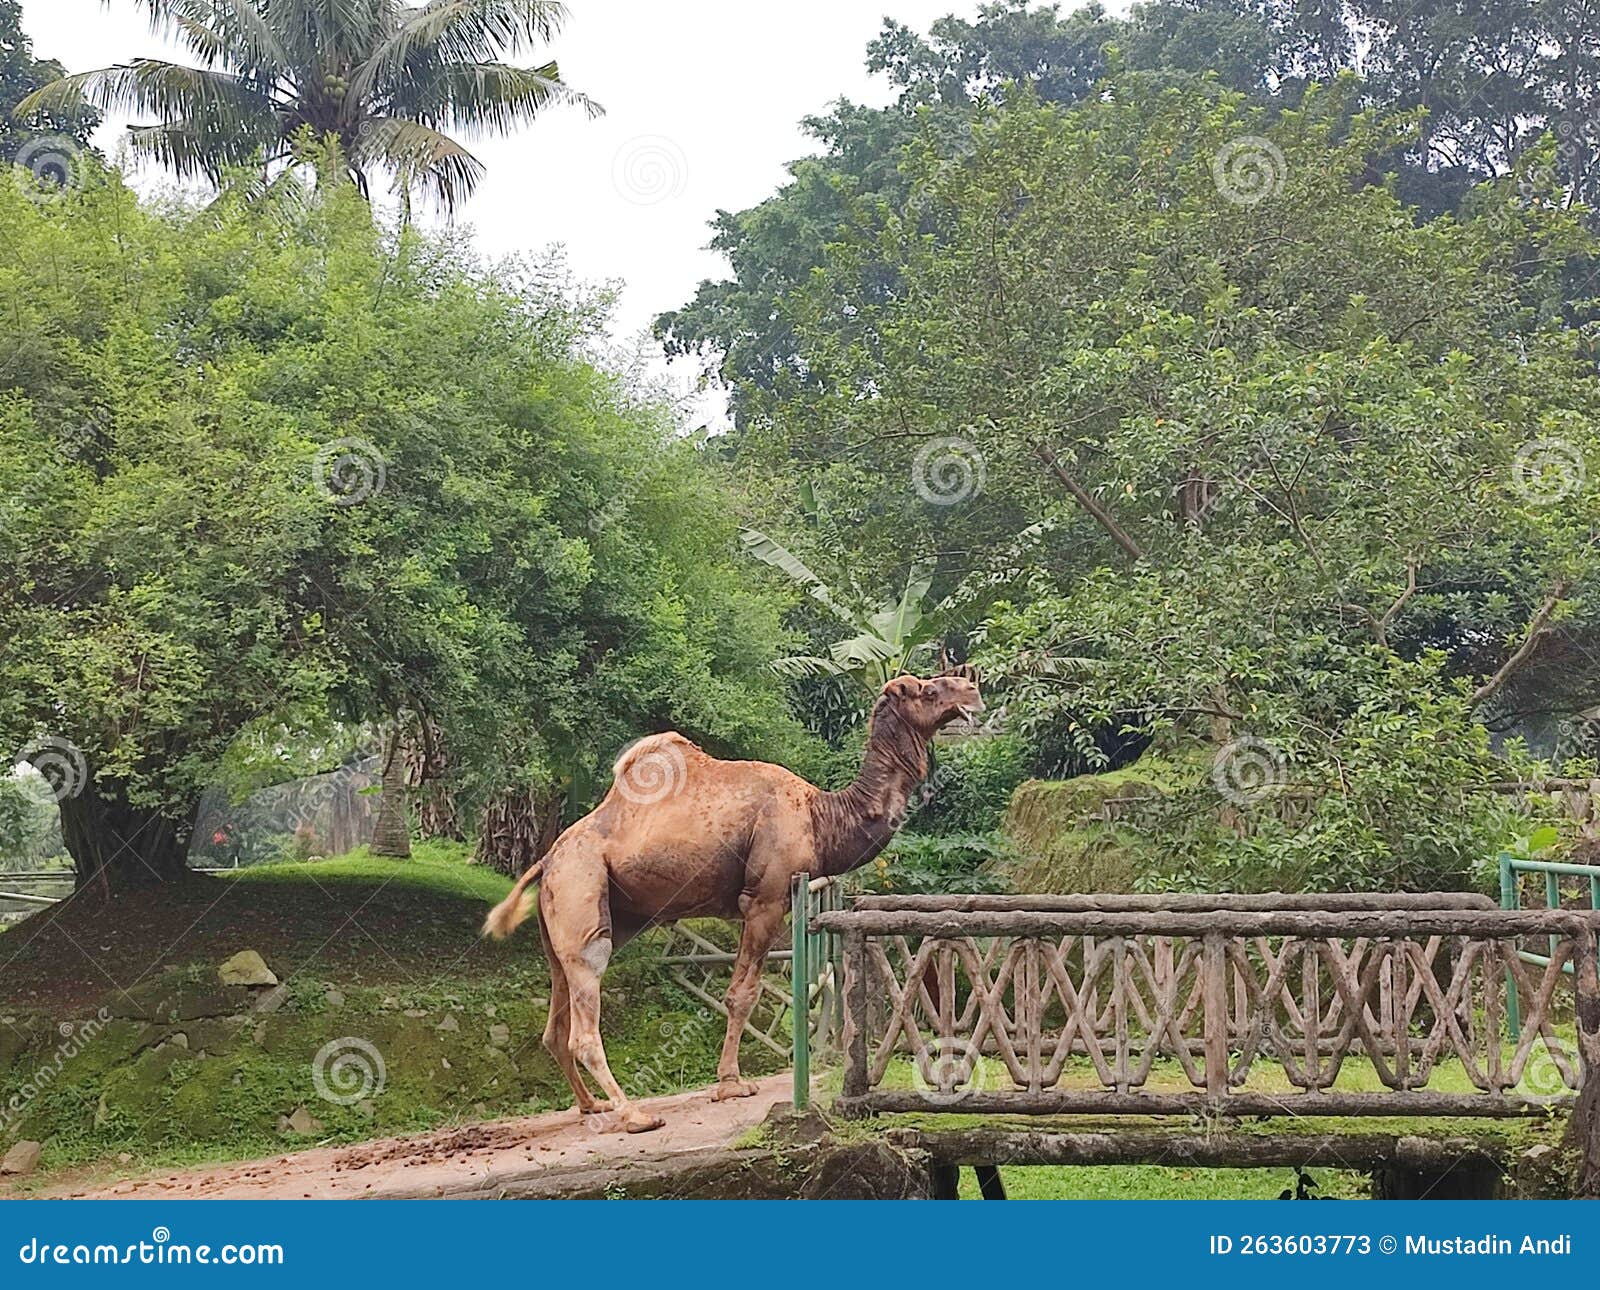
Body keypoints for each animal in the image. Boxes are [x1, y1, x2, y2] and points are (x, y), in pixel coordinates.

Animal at [481, 668, 984, 1133]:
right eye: (928, 689)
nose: (973, 686)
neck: (820, 816)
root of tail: (546, 859)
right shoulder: (766, 898)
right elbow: (742, 993)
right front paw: (731, 1083)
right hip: (580, 889)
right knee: (583, 1021)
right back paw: (634, 1114)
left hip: (564, 923)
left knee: (555, 1023)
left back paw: (591, 1105)